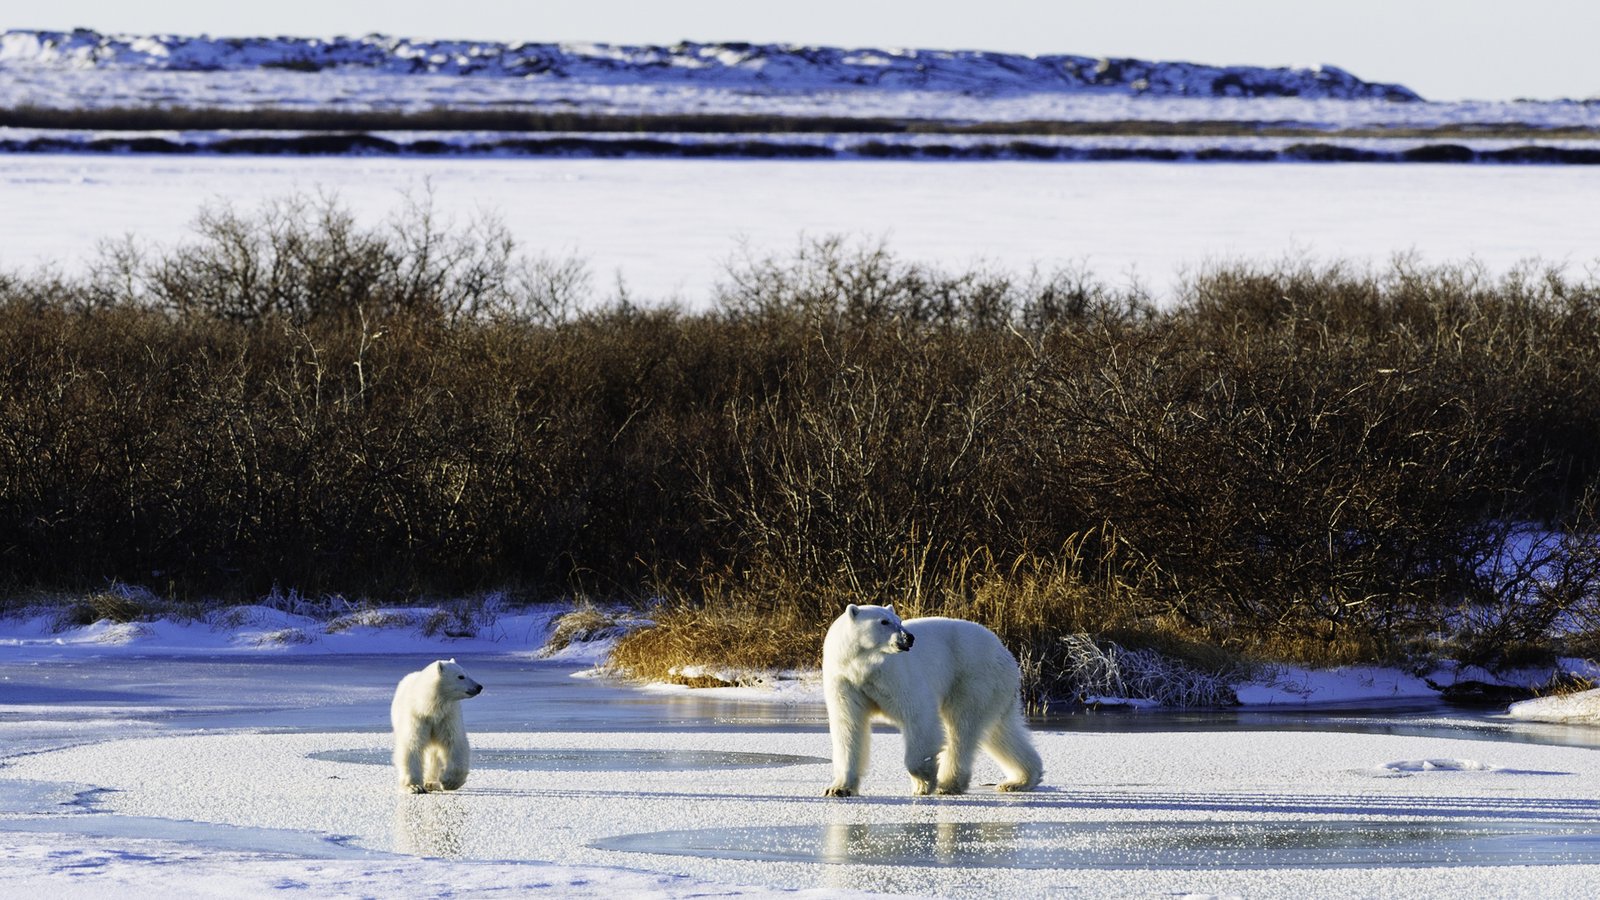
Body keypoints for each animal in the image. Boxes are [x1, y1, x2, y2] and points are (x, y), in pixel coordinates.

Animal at [391, 658, 483, 794]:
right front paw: (414, 786)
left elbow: (454, 743)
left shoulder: (447, 717)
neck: (429, 709)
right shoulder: (416, 717)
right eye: (460, 676)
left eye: (467, 673)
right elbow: (412, 745)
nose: (479, 687)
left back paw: (432, 783)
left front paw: (448, 782)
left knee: (434, 755)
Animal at [822, 604, 1042, 796]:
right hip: (995, 690)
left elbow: (918, 715)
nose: (908, 637)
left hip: (972, 679)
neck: (863, 666)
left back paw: (949, 783)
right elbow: (848, 727)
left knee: (961, 728)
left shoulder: (895, 676)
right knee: (1001, 732)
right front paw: (838, 788)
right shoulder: (845, 680)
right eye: (884, 621)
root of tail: (1005, 652)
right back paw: (1020, 780)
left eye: (899, 620)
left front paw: (923, 782)